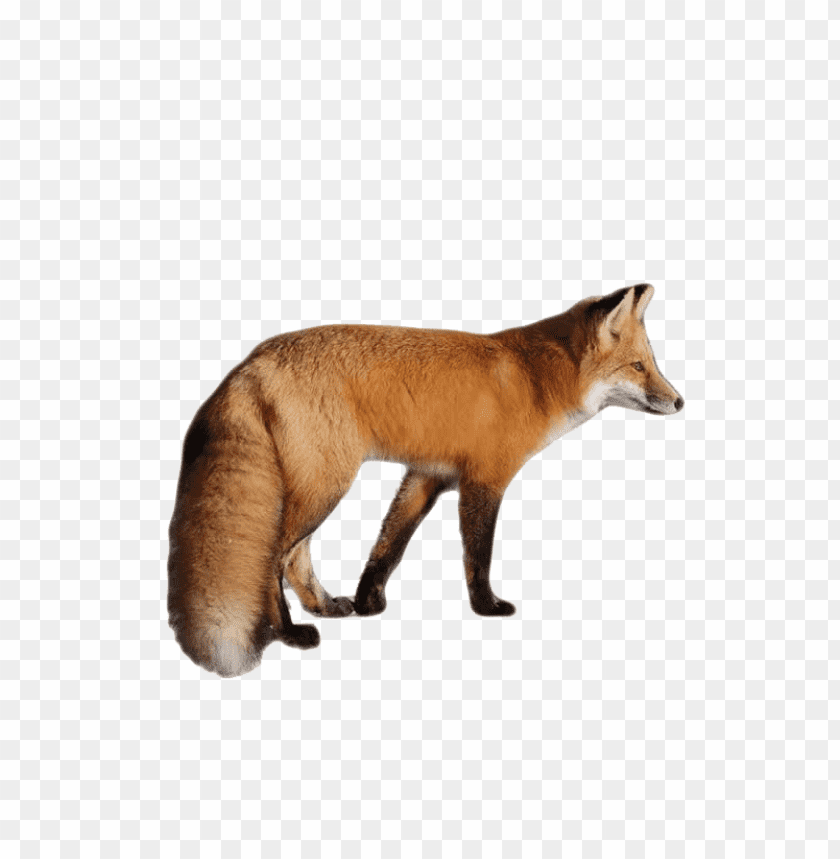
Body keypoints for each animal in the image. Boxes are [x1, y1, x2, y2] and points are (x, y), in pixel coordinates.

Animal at [168, 283, 683, 677]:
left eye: (653, 363)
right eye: (639, 366)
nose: (679, 401)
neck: (535, 382)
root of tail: (253, 358)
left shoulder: (427, 476)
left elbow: (388, 545)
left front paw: (368, 601)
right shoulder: (484, 480)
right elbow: (477, 555)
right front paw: (487, 606)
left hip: (317, 484)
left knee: (295, 558)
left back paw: (325, 607)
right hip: (325, 484)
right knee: (275, 557)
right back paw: (291, 633)